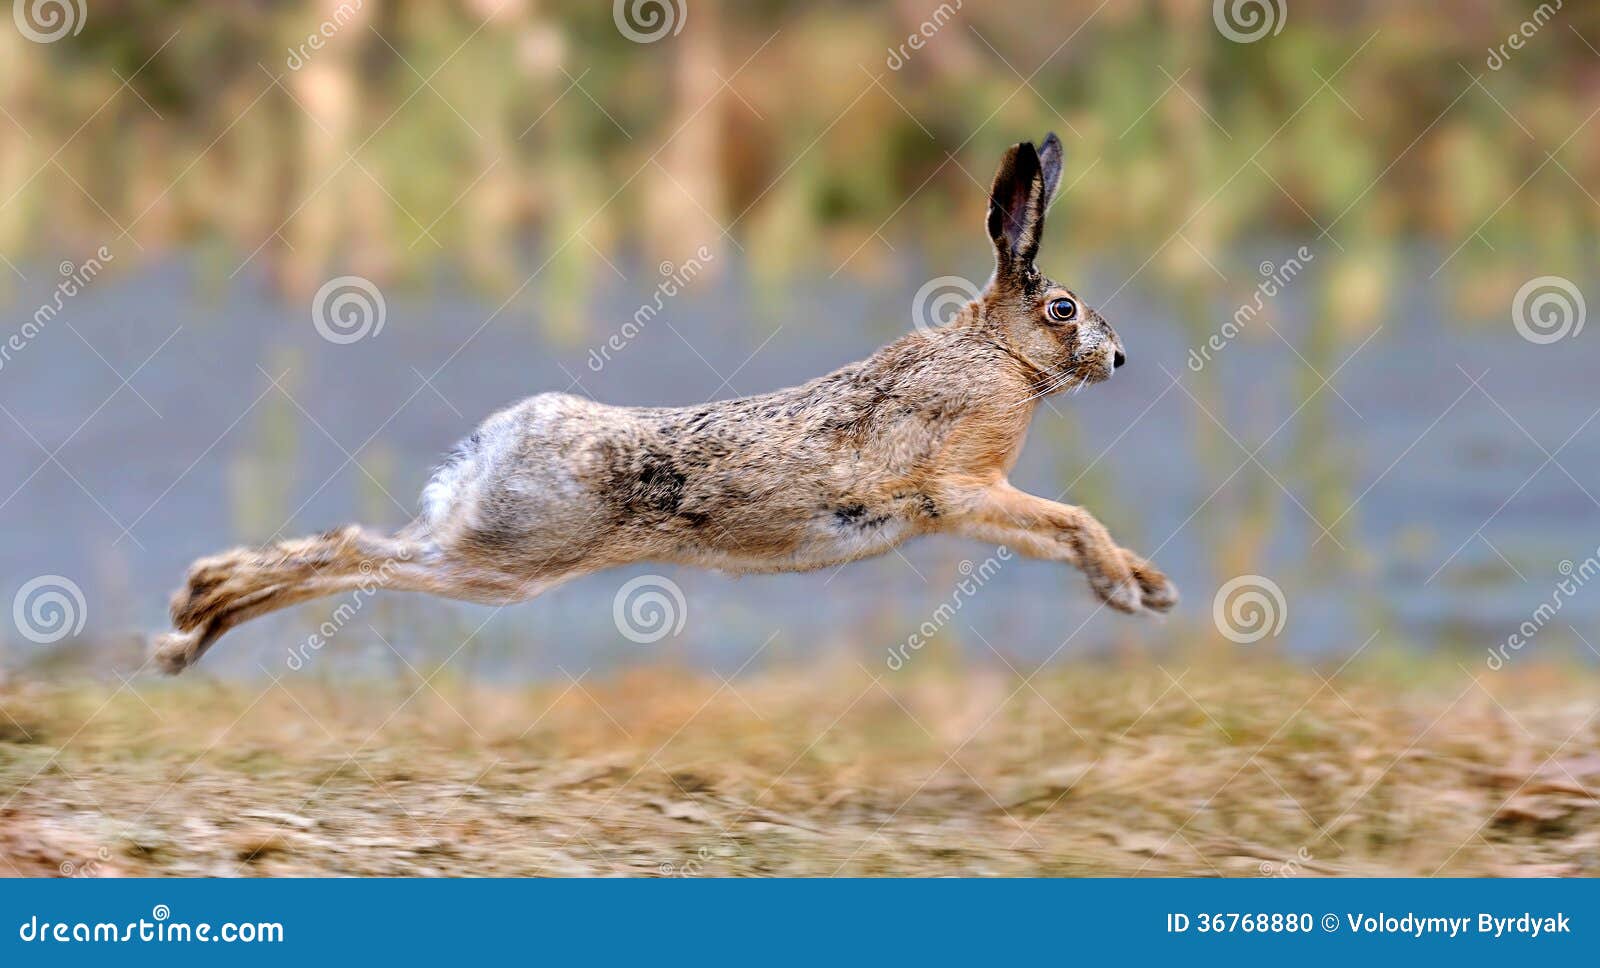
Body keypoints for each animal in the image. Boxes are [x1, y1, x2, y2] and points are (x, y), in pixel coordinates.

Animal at [152, 132, 1175, 674]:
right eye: (1063, 309)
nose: (1121, 357)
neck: (995, 354)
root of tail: (496, 443)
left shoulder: (970, 507)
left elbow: (1058, 533)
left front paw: (1149, 587)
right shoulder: (961, 487)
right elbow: (1071, 519)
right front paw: (1128, 589)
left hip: (492, 550)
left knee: (359, 550)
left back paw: (195, 620)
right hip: (504, 559)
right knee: (362, 555)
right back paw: (192, 620)